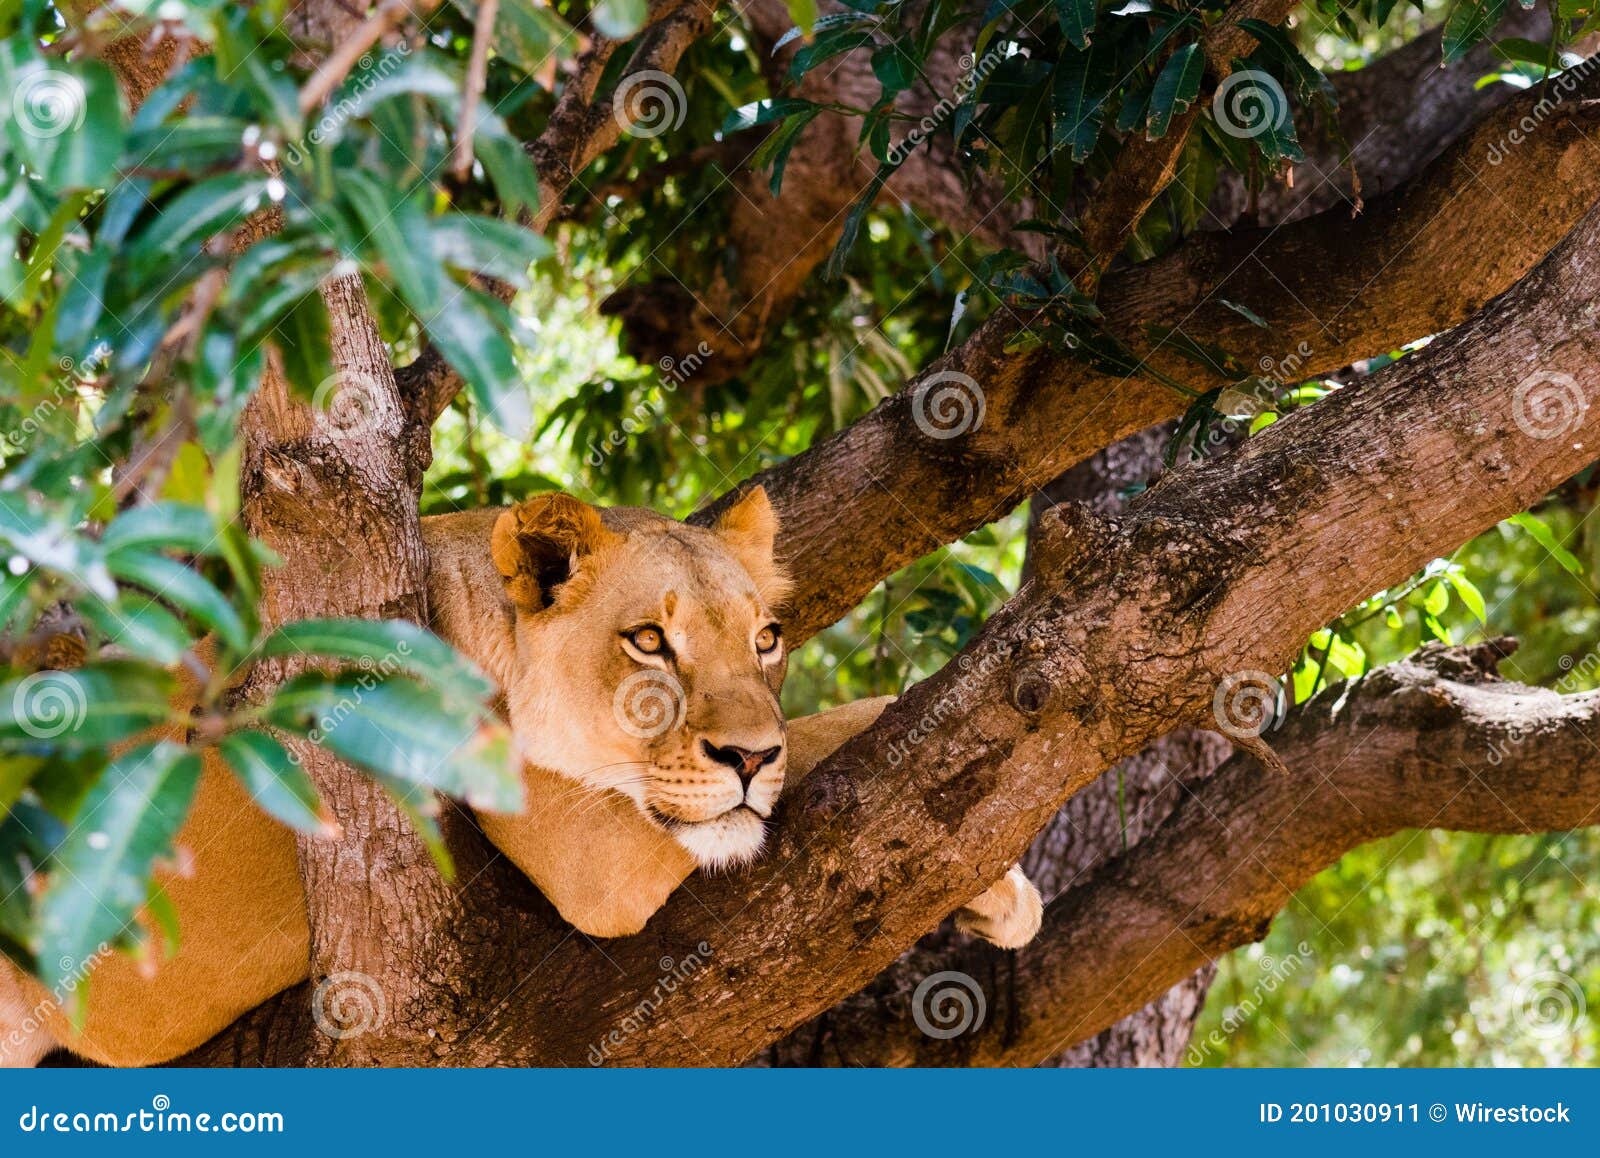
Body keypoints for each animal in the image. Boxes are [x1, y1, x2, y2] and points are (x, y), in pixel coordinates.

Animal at [0, 488, 1041, 1067]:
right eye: (649, 642)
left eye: (767, 639)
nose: (748, 755)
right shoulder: (594, 859)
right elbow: (833, 733)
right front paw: (1010, 890)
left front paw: (998, 895)